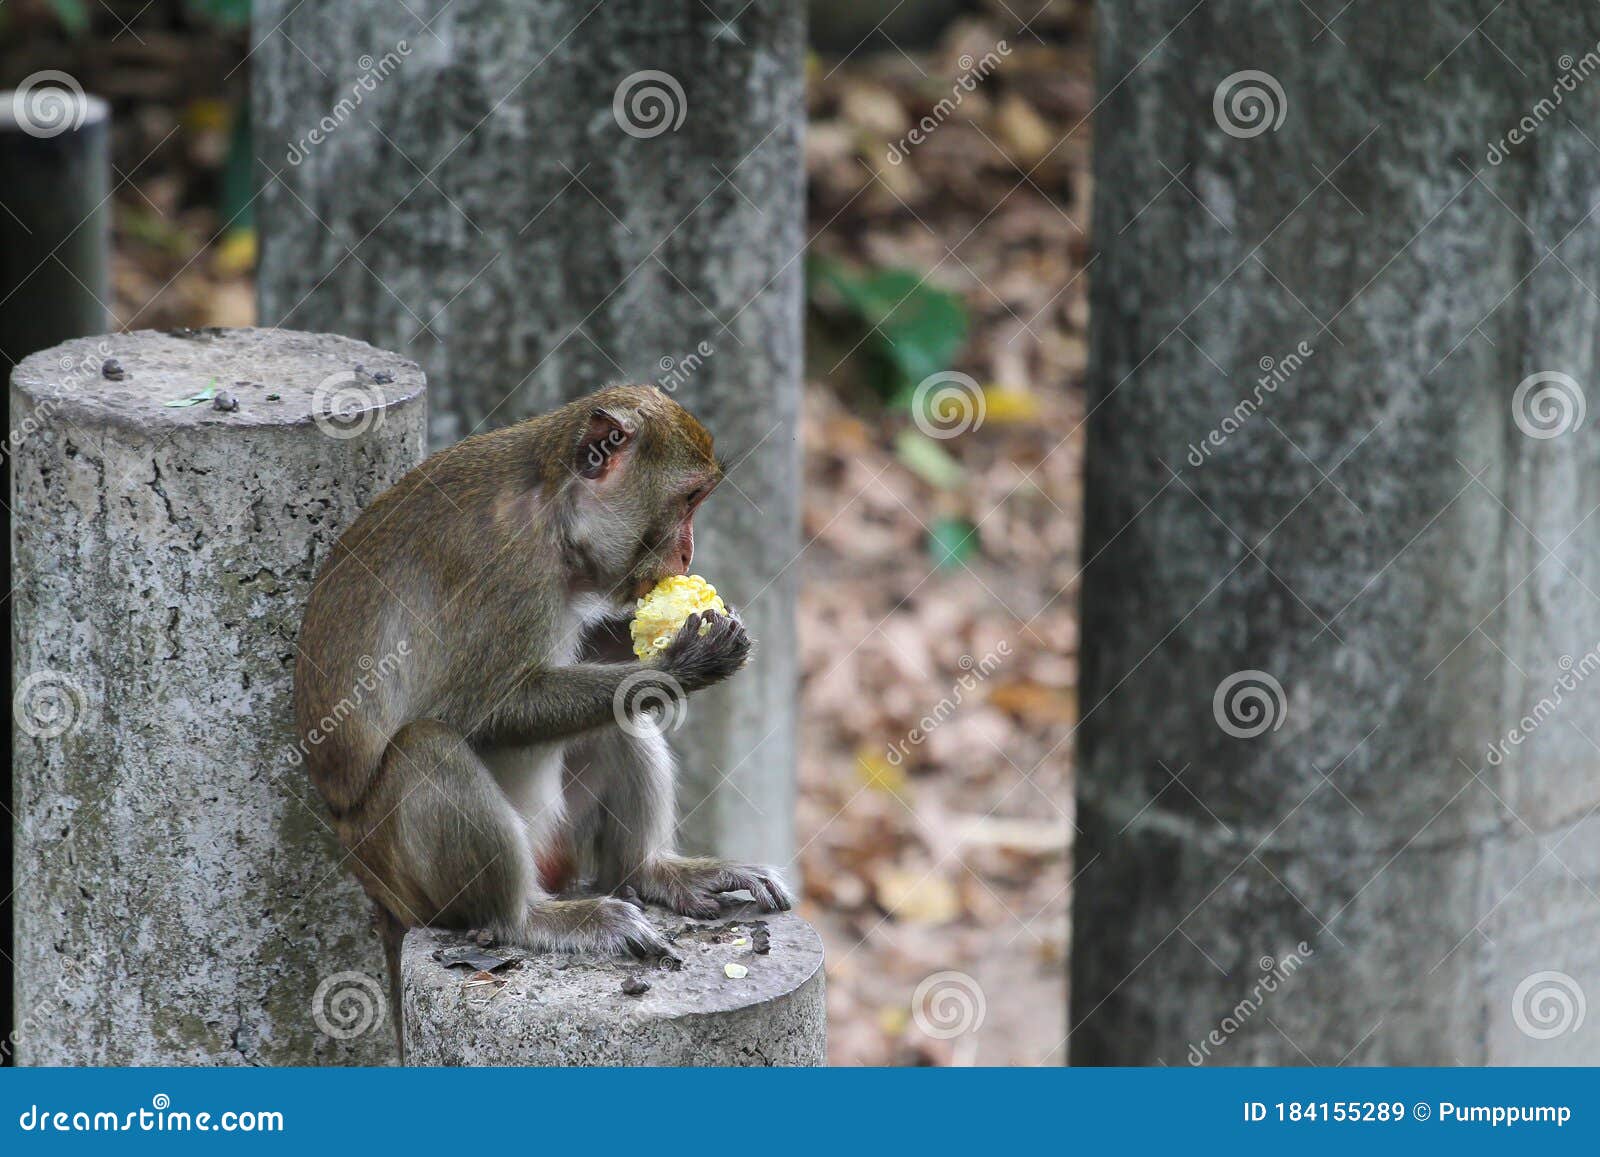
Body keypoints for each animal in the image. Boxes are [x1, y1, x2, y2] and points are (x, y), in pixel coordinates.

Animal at [293, 383, 793, 981]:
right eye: (690, 498)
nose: (687, 553)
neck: (554, 511)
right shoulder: (503, 569)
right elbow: (481, 713)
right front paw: (680, 665)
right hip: (410, 879)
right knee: (427, 747)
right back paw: (528, 919)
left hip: (561, 839)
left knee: (615, 724)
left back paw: (651, 871)